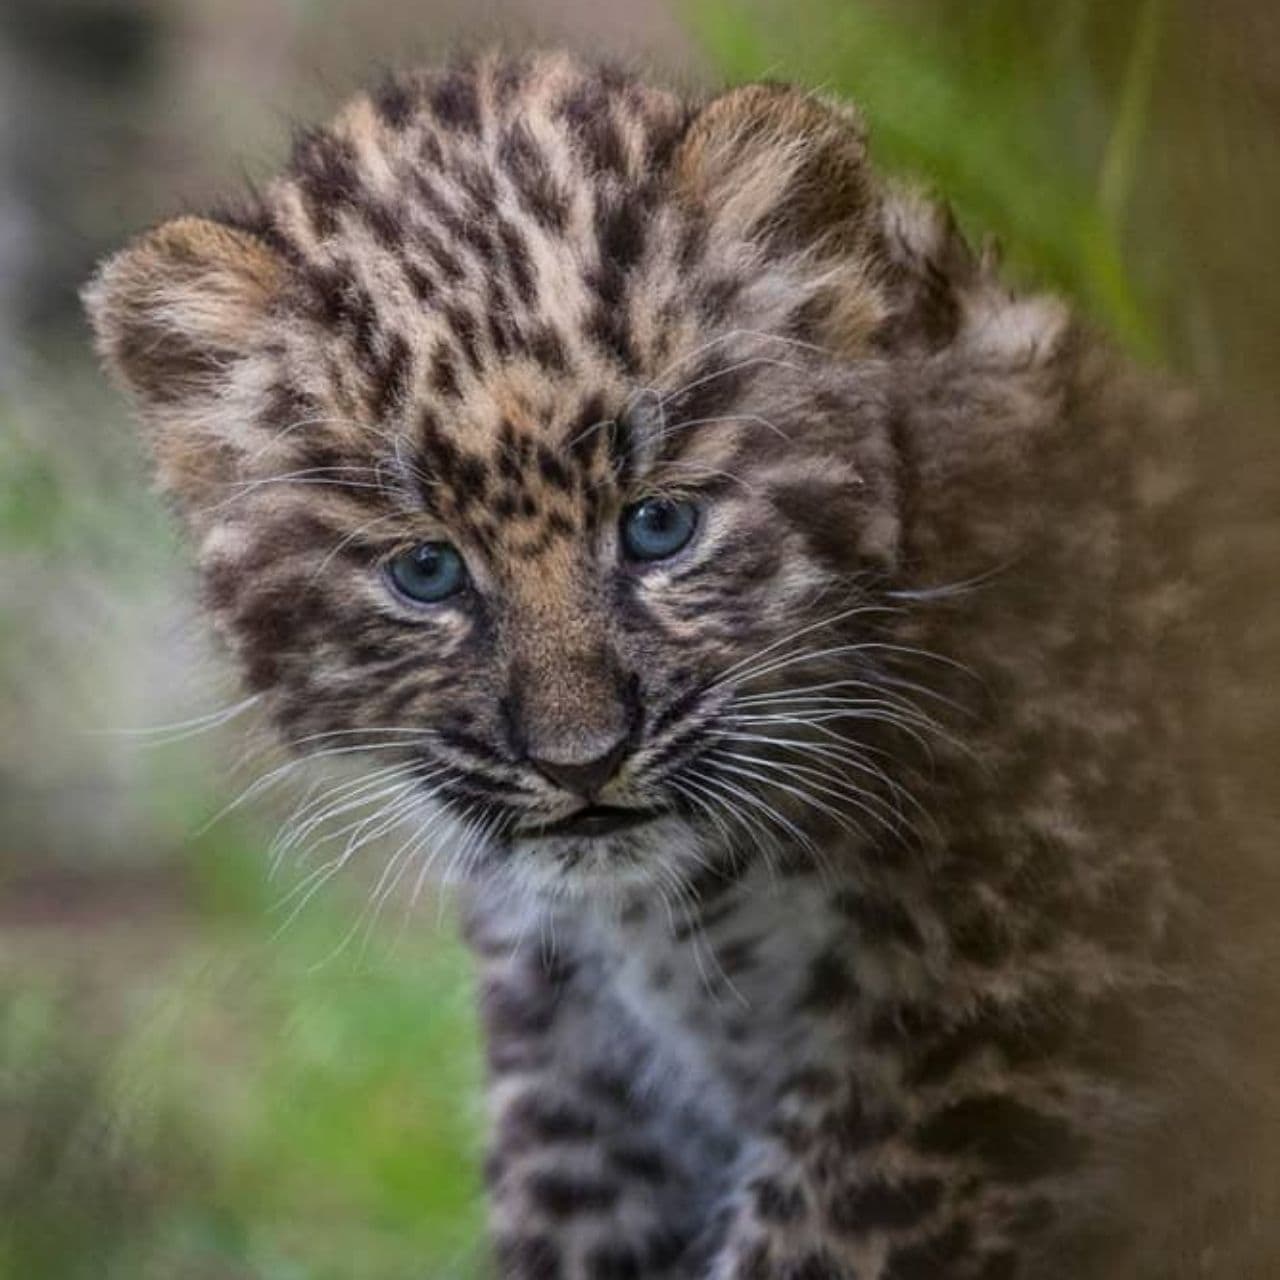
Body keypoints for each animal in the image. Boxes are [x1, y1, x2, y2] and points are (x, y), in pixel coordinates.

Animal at [83, 50, 1280, 1280]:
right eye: (426, 571)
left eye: (659, 527)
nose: (579, 761)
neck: (683, 906)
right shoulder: (570, 1037)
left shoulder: (994, 1005)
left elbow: (814, 1242)